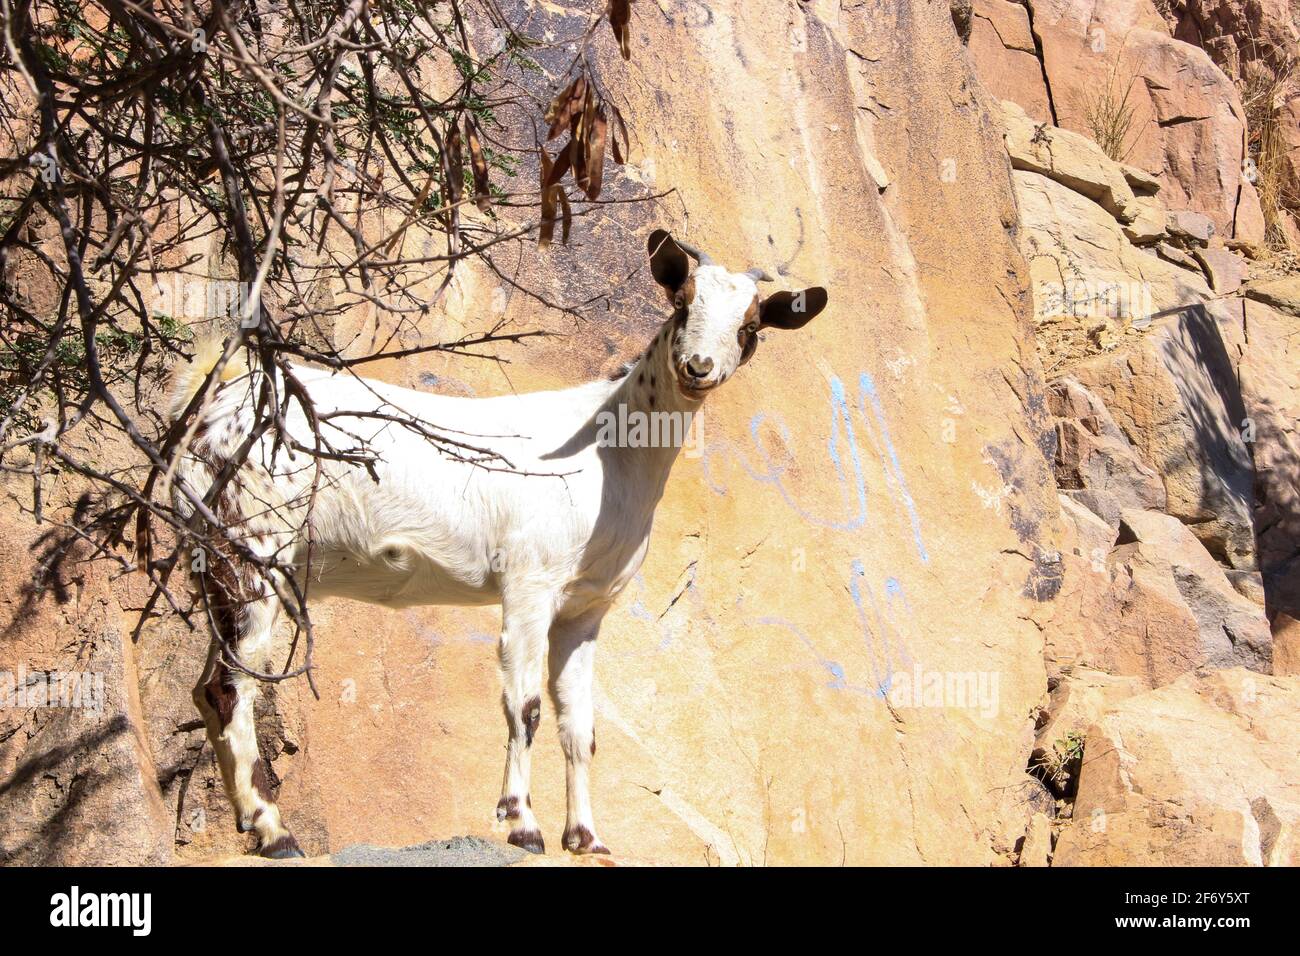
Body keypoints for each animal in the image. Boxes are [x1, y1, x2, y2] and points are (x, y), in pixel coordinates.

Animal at [170, 231, 828, 857]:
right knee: (232, 687)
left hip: (218, 560)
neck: (608, 451)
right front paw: (523, 825)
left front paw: (586, 837)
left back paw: (249, 821)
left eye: (750, 327)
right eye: (682, 301)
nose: (698, 367)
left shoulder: (585, 609)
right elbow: (525, 706)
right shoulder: (529, 583)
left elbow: (579, 726)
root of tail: (213, 401)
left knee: (206, 686)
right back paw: (274, 831)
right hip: (252, 547)